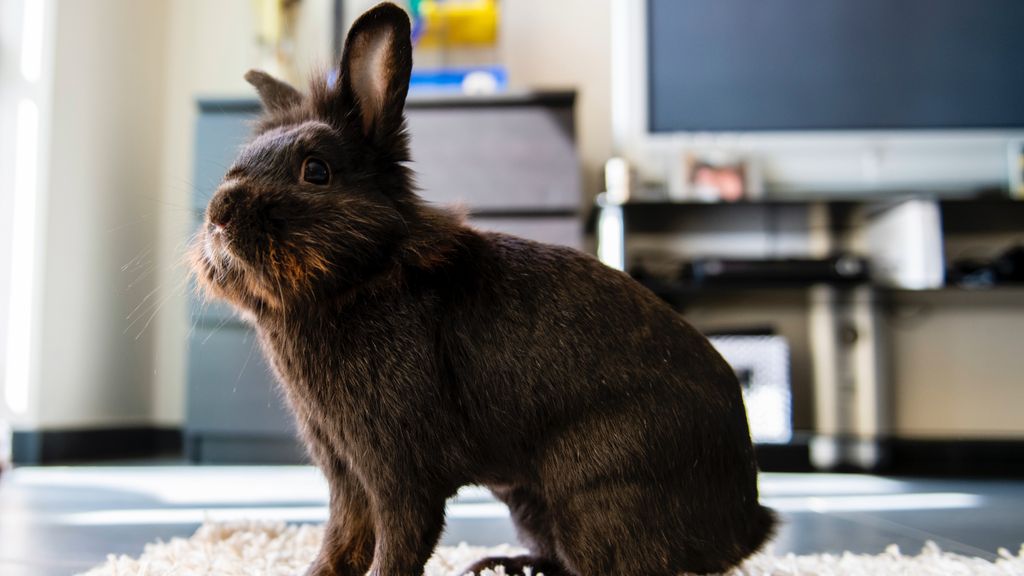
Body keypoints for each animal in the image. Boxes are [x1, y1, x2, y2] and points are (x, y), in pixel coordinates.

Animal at [190, 3, 776, 575]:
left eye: (316, 171)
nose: (218, 214)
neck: (365, 276)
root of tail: (745, 521)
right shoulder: (344, 472)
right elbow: (341, 541)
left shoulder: (399, 473)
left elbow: (397, 543)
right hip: (528, 501)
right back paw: (499, 564)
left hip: (594, 496)